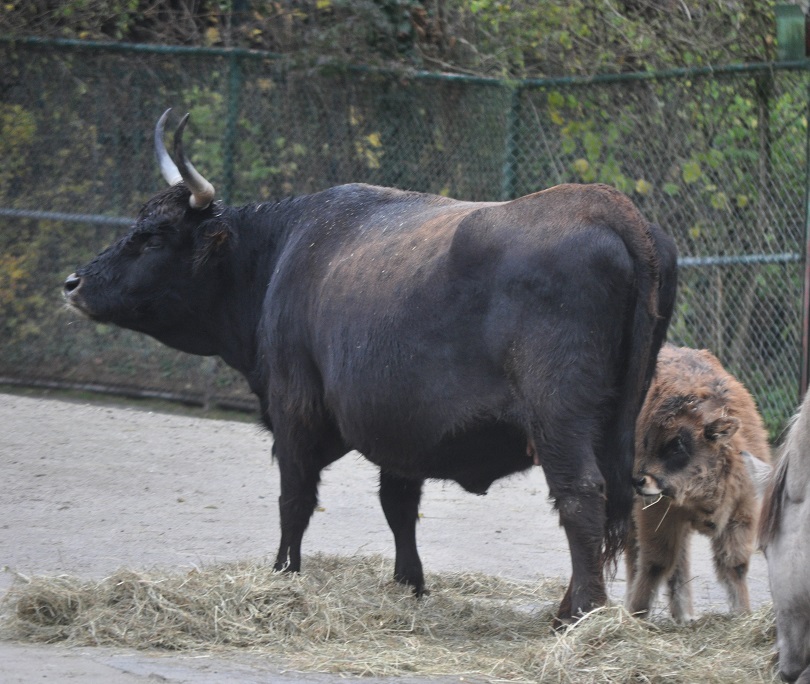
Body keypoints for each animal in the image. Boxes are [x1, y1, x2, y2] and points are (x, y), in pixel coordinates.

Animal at [62, 109, 677, 624]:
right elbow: (397, 505)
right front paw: (410, 584)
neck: (284, 252)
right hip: (615, 419)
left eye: (155, 237)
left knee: (580, 495)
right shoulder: (403, 426)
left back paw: (580, 615)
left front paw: (284, 574)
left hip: (559, 418)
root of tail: (606, 207)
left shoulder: (294, 408)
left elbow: (295, 498)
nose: (74, 283)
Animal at [625, 343, 772, 622]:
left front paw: (743, 613)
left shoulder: (742, 512)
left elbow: (735, 566)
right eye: (647, 440)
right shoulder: (657, 513)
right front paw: (636, 614)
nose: (639, 480)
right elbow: (655, 563)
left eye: (678, 445)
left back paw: (684, 615)